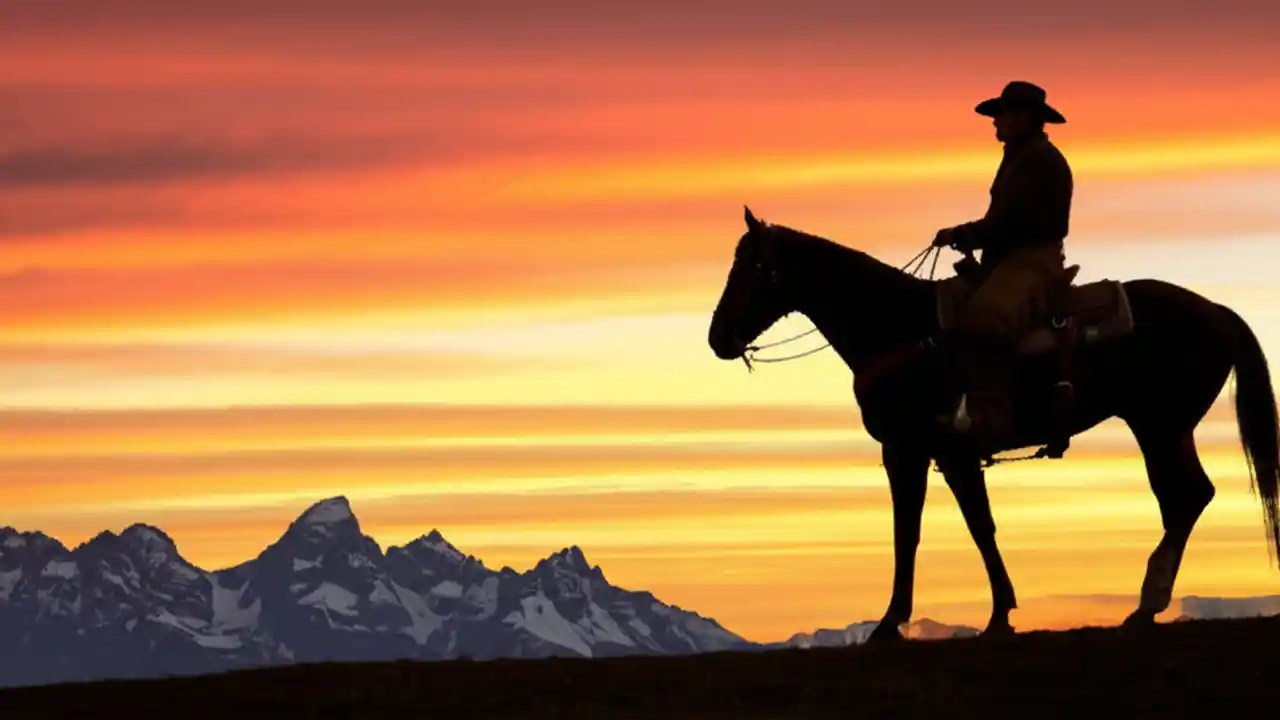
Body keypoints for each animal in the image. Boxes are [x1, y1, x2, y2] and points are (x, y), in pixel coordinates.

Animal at [707, 207, 1280, 643]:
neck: (899, 328)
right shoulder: (942, 454)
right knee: (1186, 498)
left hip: (1157, 426)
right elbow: (966, 527)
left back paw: (1145, 605)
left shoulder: (912, 449)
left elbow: (923, 530)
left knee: (1184, 497)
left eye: (755, 265)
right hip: (1165, 428)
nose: (717, 338)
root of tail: (1219, 311)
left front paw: (897, 624)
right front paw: (995, 613)